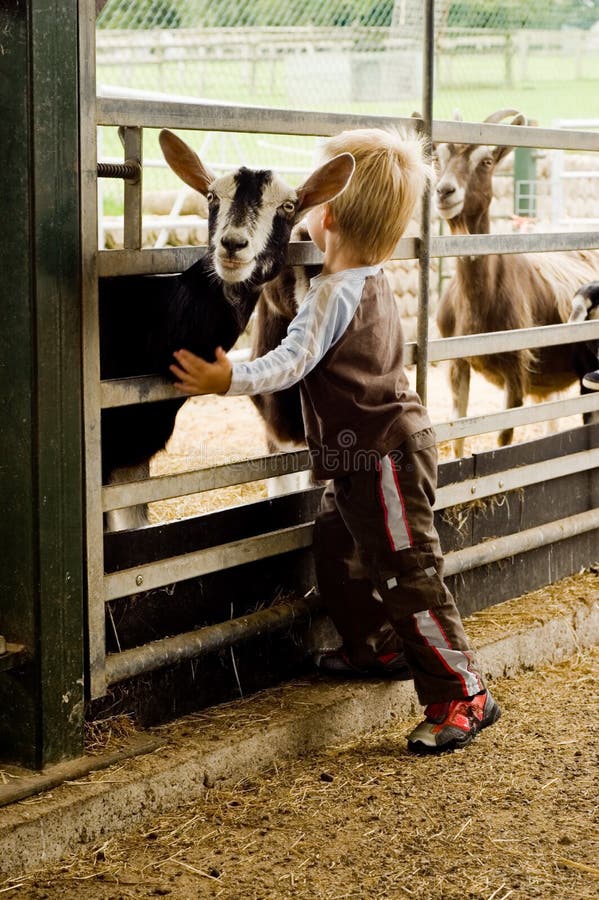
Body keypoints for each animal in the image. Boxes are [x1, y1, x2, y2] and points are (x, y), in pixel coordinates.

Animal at [434, 109, 599, 457]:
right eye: (438, 156)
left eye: (486, 161)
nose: (444, 192)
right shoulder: (457, 363)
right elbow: (457, 436)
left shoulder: (516, 367)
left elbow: (504, 438)